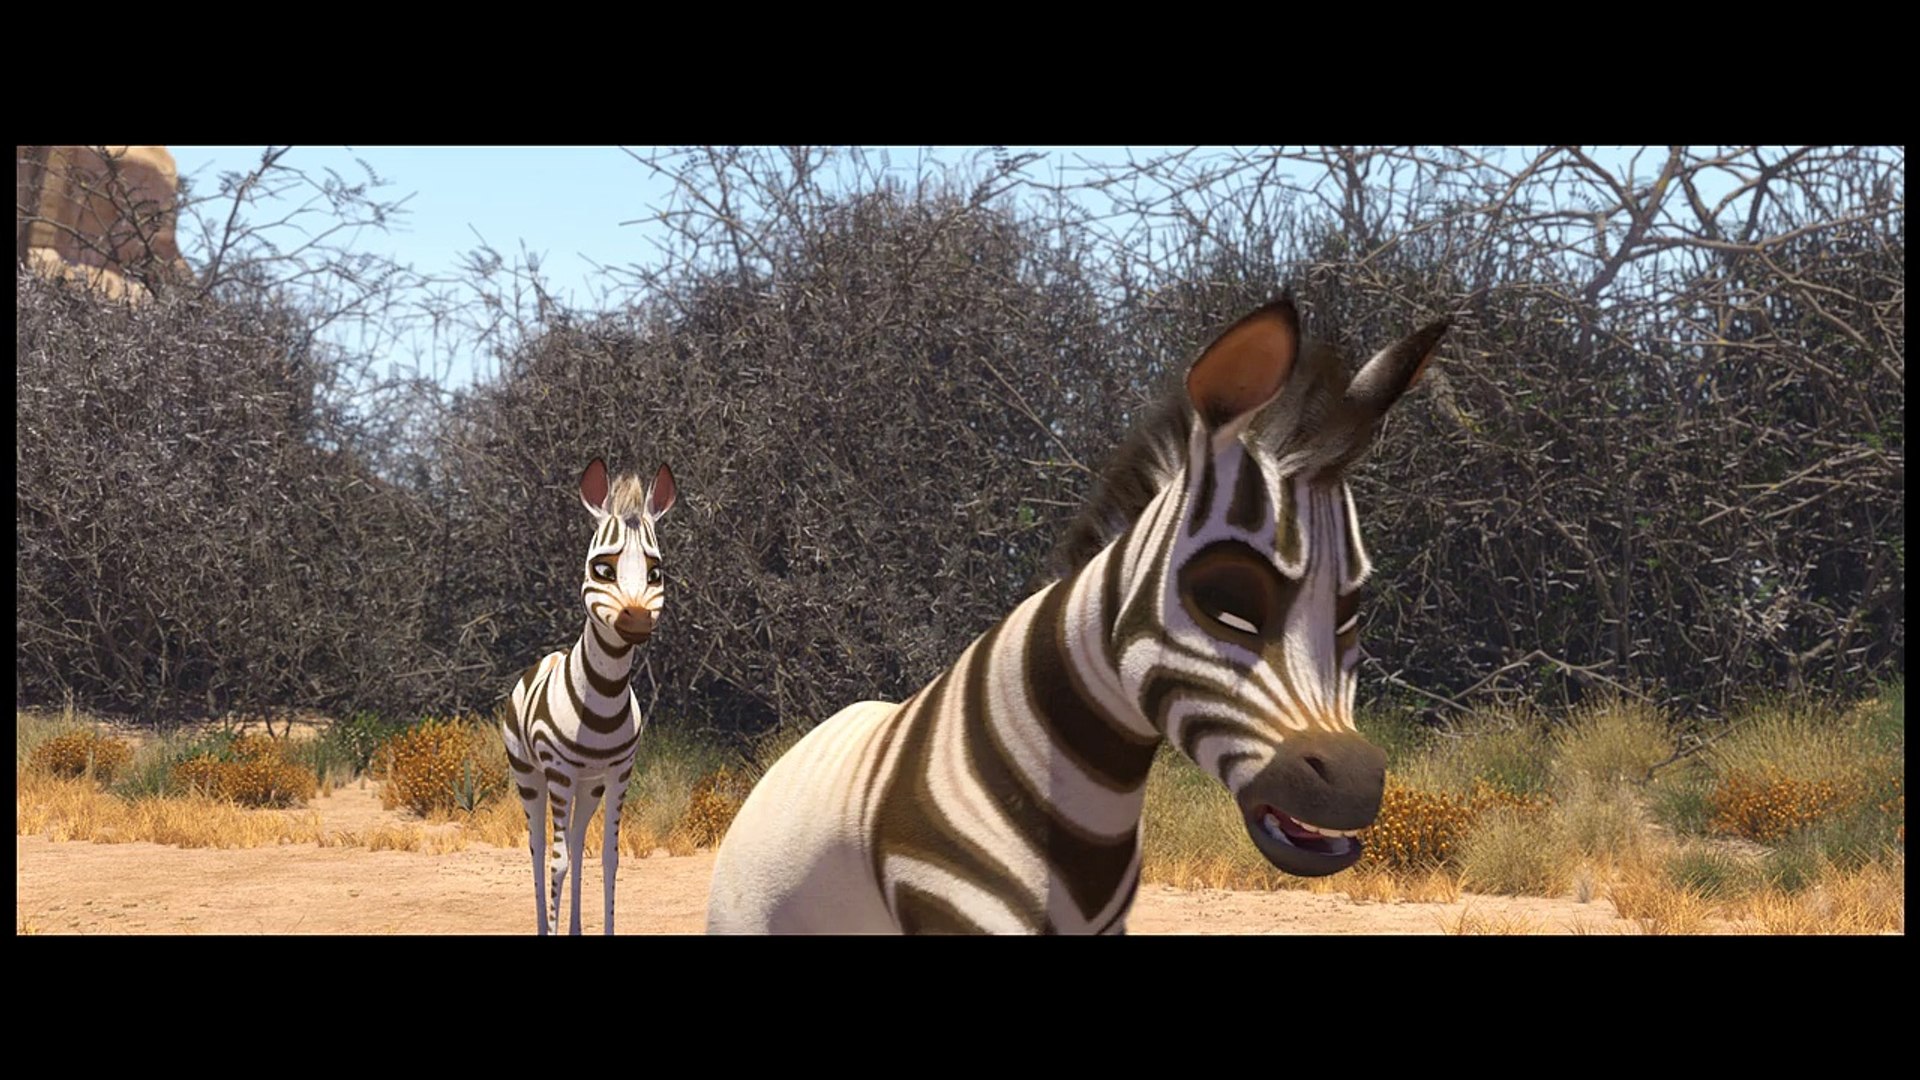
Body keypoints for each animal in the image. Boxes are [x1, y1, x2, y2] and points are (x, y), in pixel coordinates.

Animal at [503, 457, 676, 935]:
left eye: (655, 573)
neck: (602, 695)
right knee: (538, 847)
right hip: (530, 774)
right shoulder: (559, 770)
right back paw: (544, 924)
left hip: (588, 785)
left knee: (579, 841)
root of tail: (544, 658)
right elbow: (557, 862)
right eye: (603, 570)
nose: (636, 620)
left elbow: (609, 859)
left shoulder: (619, 773)